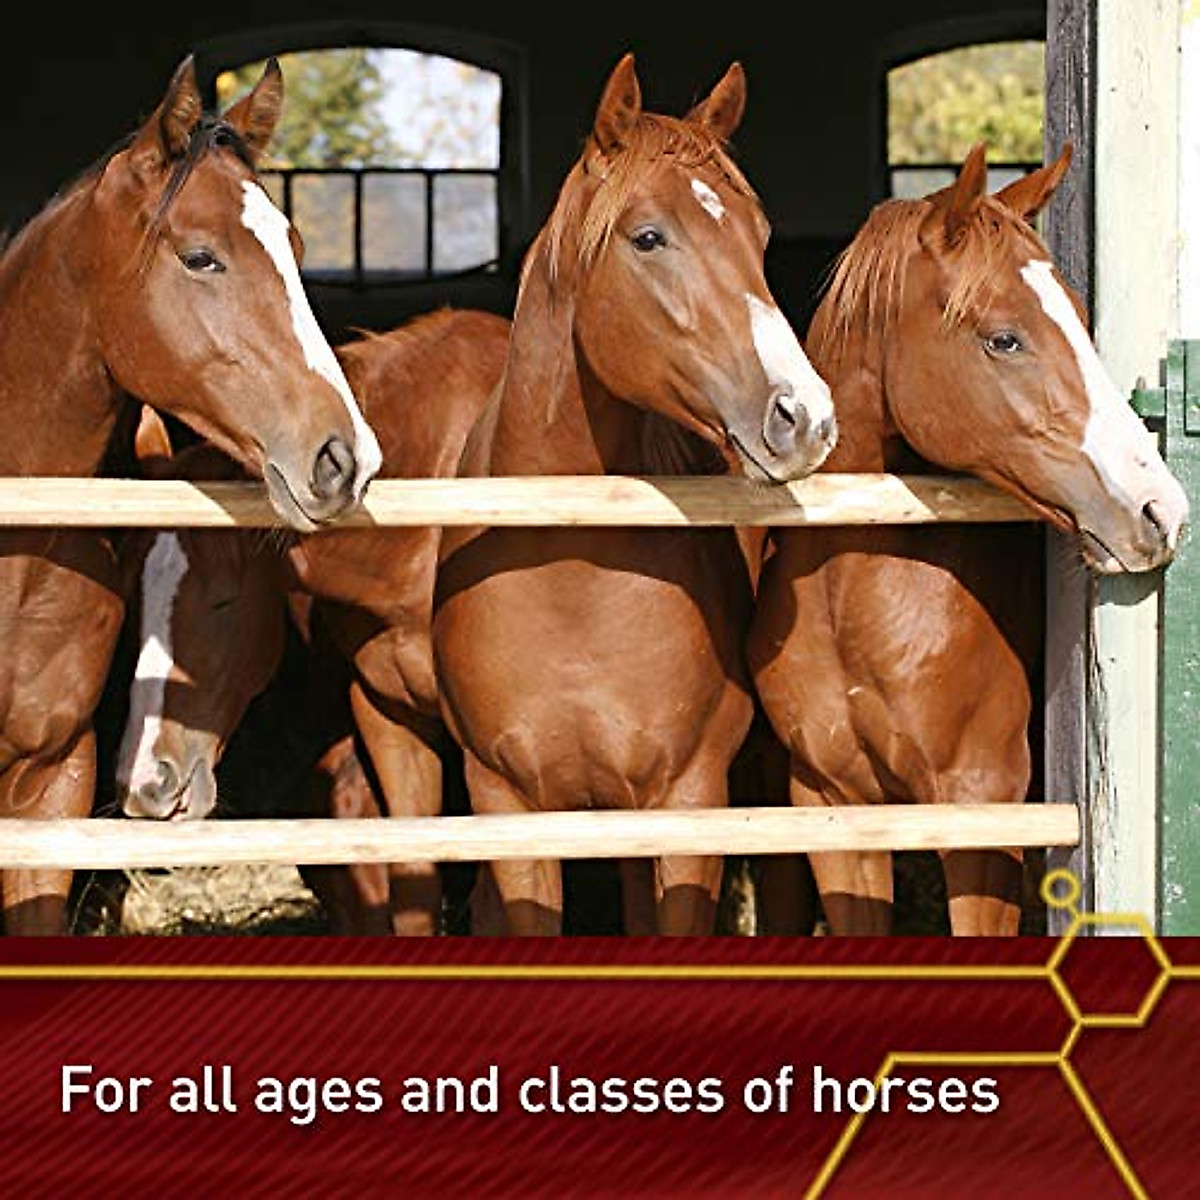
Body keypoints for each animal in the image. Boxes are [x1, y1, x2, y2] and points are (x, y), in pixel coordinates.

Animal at [430, 53, 838, 936]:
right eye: (649, 237)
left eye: (758, 238)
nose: (805, 416)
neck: (567, 573)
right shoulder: (509, 807)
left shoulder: (688, 802)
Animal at [747, 143, 1189, 936]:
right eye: (1003, 338)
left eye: (1081, 321)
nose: (1159, 510)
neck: (853, 609)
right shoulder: (833, 811)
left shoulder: (983, 814)